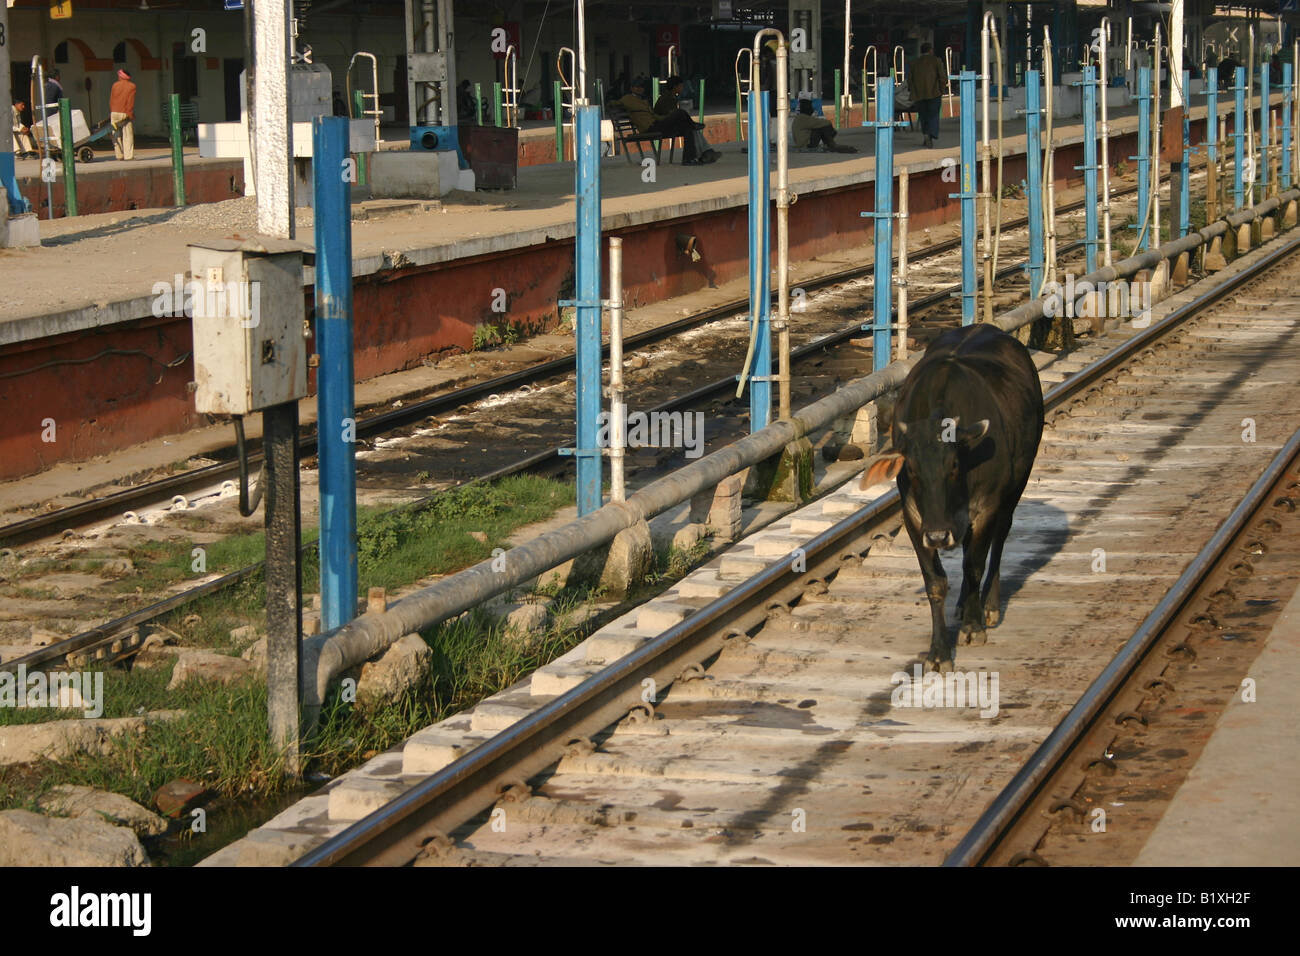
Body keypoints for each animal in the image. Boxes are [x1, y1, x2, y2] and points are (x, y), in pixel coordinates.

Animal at [859, 324, 1044, 671]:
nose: (938, 535)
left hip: (1016, 486)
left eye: (955, 465)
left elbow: (974, 565)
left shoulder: (986, 508)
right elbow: (936, 582)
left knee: (999, 541)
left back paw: (989, 606)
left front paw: (973, 627)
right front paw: (939, 652)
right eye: (911, 468)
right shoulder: (914, 517)